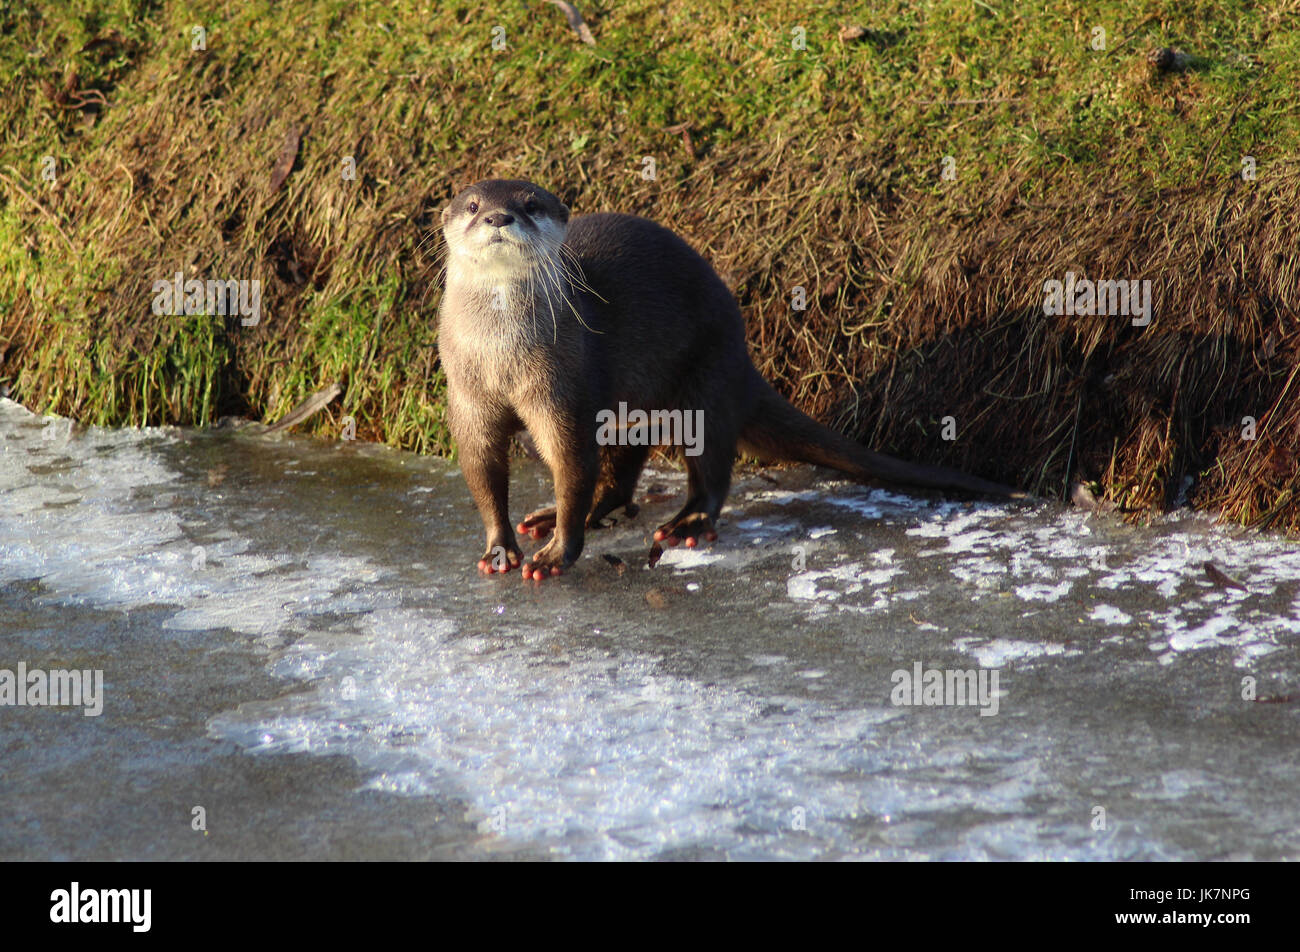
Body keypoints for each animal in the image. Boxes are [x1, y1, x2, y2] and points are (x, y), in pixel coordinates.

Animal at [437, 179, 1023, 581]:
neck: (500, 359)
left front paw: (558, 553)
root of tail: (742, 352)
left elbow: (572, 465)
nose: (498, 217)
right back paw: (551, 516)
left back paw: (688, 524)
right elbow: (482, 471)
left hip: (708, 379)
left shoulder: (563, 391)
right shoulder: (468, 399)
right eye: (472, 205)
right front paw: (501, 548)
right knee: (622, 476)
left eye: (531, 204)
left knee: (713, 467)